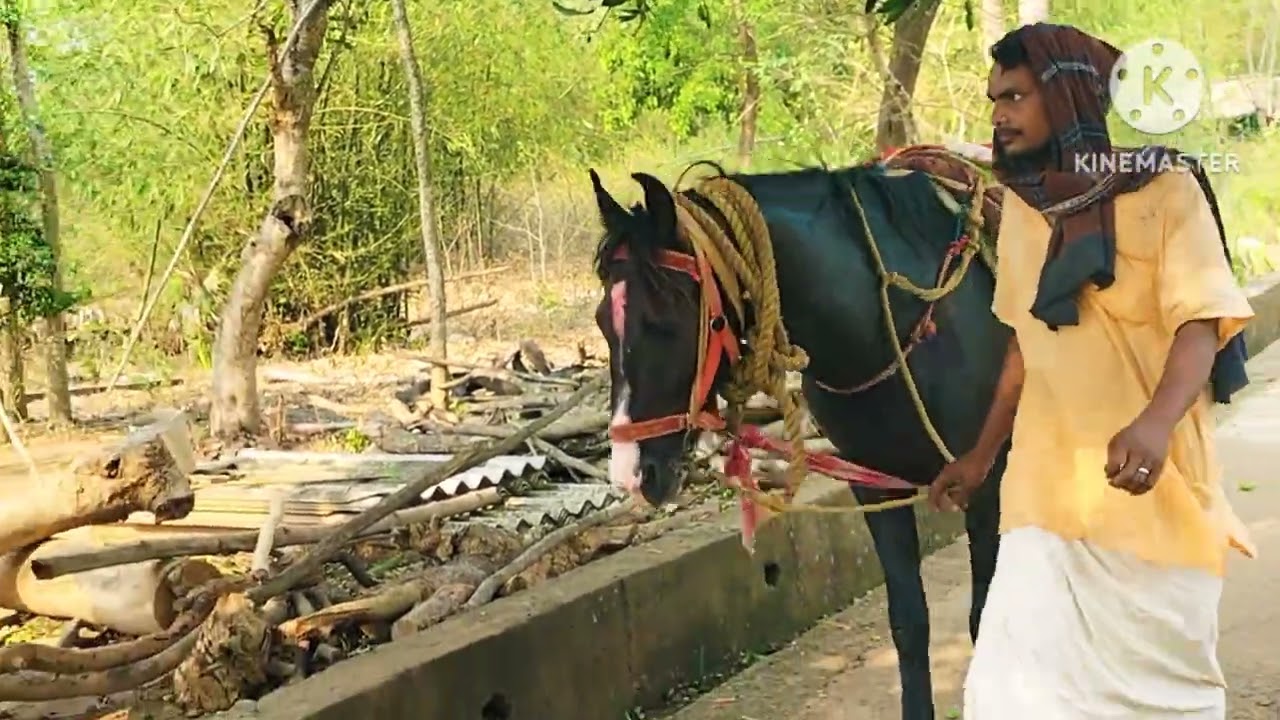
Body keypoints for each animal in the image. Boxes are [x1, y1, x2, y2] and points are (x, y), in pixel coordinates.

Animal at [589, 150, 1010, 720]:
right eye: (601, 321)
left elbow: (983, 616)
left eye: (666, 322)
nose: (630, 472)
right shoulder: (875, 485)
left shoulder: (985, 484)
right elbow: (909, 623)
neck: (893, 329)